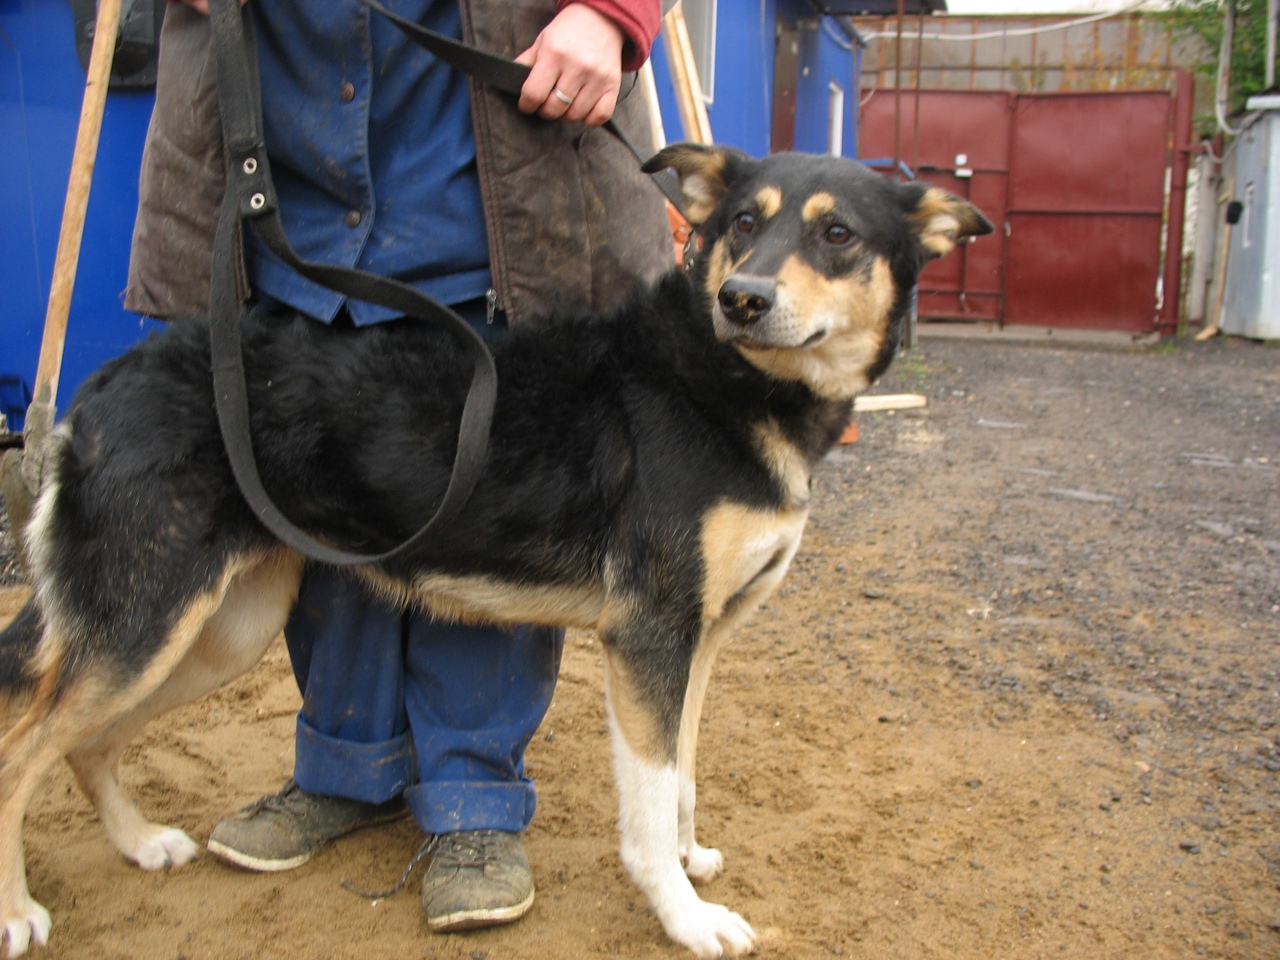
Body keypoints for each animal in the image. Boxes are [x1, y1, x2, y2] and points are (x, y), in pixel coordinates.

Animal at [0, 144, 988, 960]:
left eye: (836, 234)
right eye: (744, 222)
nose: (741, 296)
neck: (726, 381)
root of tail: (102, 384)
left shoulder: (700, 639)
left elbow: (680, 779)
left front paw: (690, 857)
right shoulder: (647, 637)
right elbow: (647, 804)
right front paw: (684, 917)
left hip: (211, 631)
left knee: (86, 745)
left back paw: (139, 844)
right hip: (145, 622)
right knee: (21, 750)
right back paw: (17, 914)